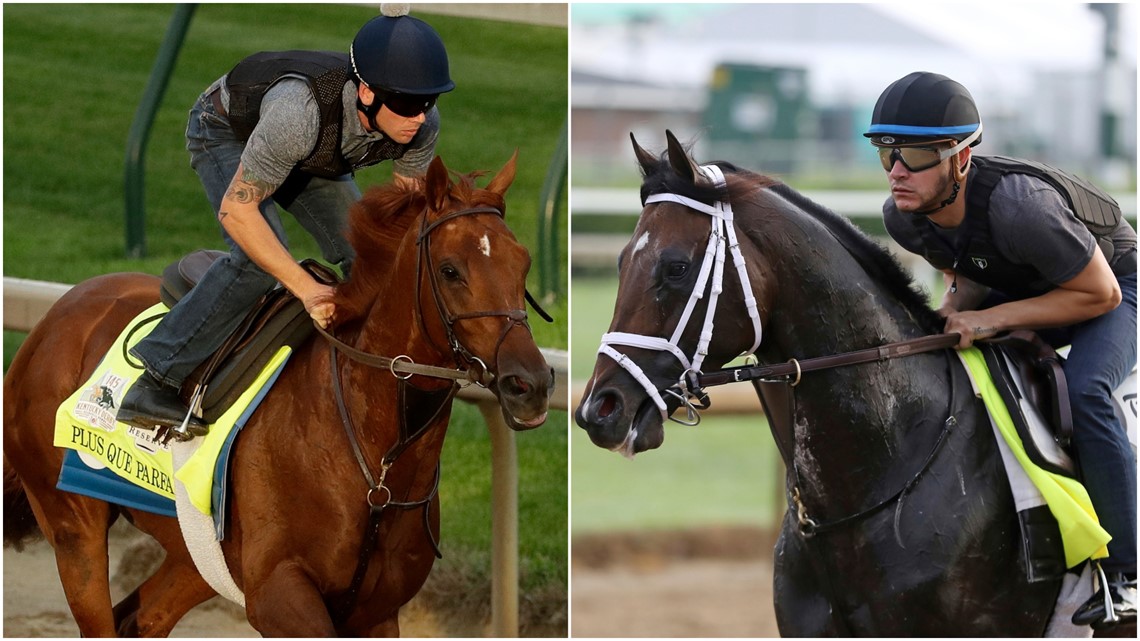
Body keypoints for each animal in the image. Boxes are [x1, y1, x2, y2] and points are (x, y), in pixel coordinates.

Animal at [4, 152, 554, 637]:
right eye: (450, 270)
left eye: (524, 264)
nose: (530, 384)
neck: (376, 459)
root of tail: (58, 315)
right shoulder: (277, 594)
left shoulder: (375, 612)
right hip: (73, 525)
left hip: (196, 553)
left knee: (139, 619)